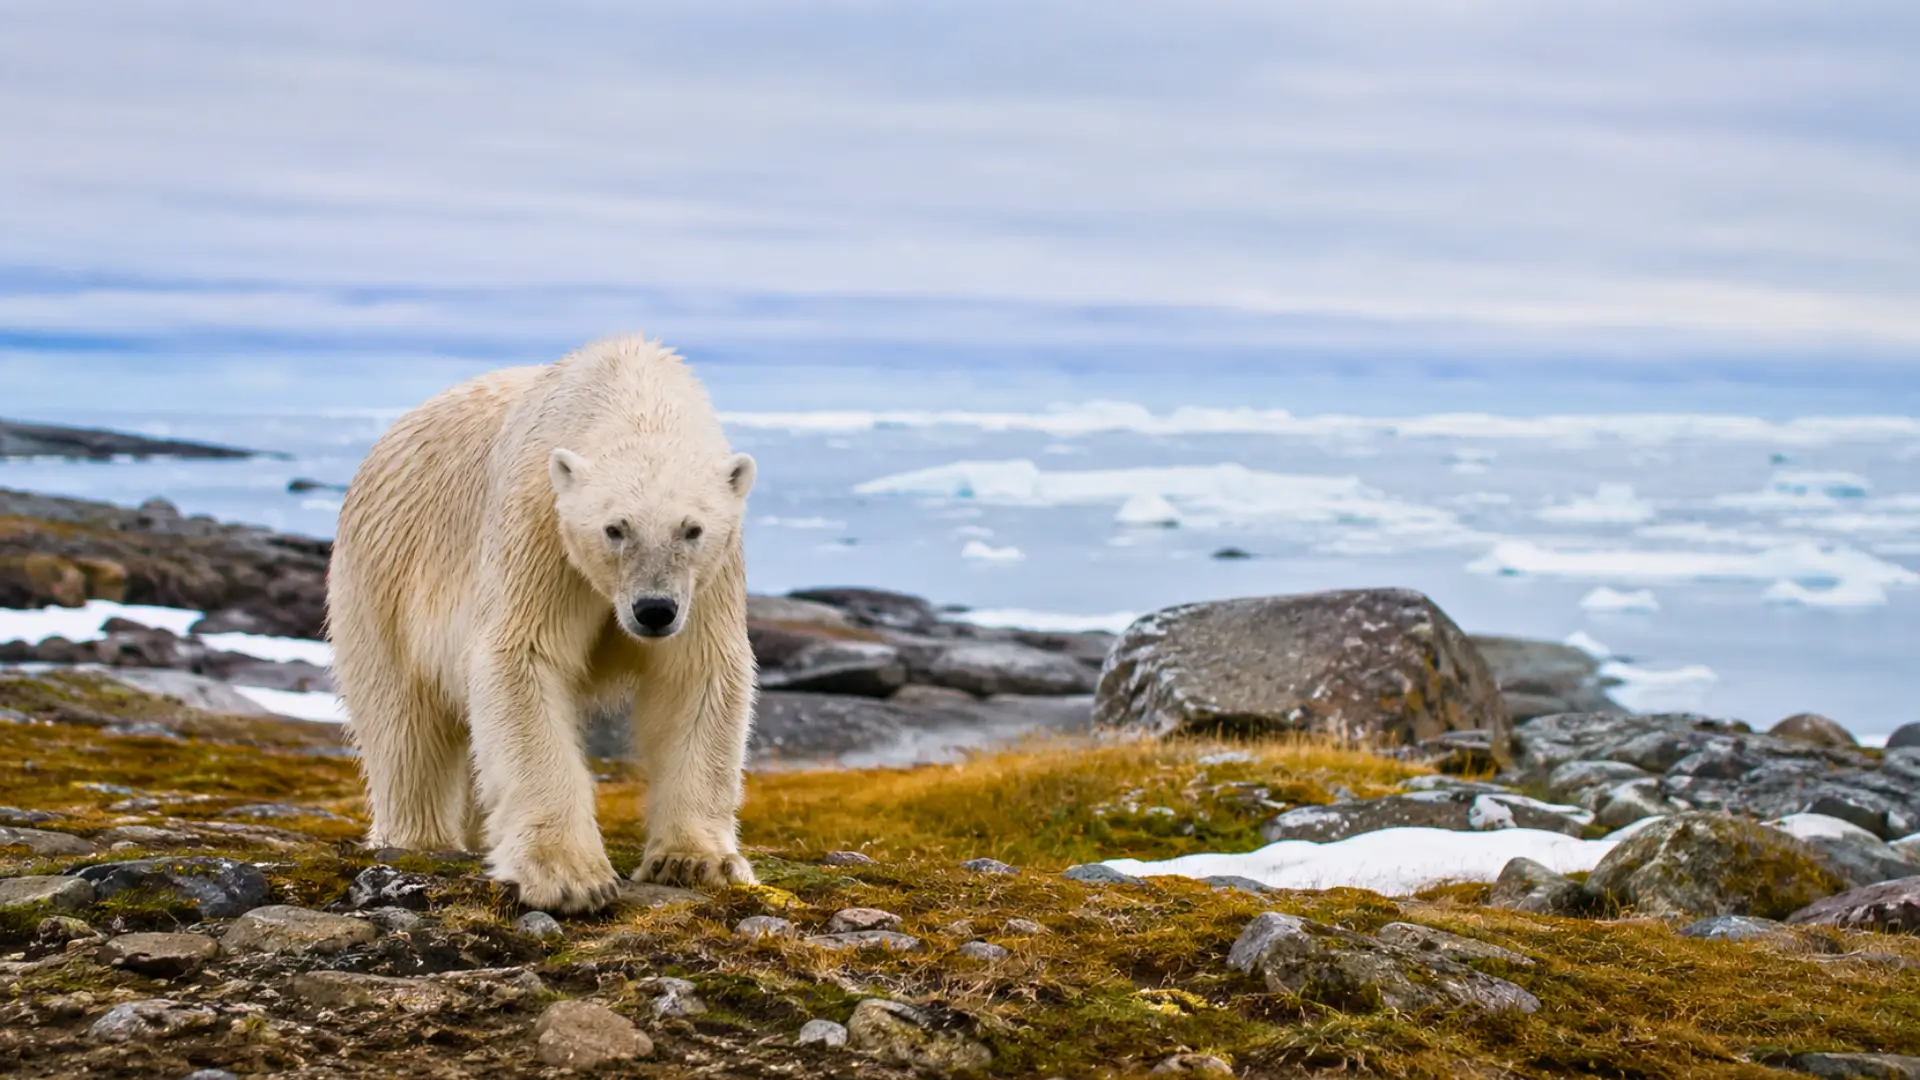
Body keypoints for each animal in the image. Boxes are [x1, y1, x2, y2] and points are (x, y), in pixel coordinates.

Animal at [326, 336, 759, 912]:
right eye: (614, 528)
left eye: (691, 529)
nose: (654, 609)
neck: (631, 389)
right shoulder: (539, 527)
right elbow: (521, 658)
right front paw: (567, 876)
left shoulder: (710, 579)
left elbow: (697, 674)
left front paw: (695, 860)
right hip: (382, 579)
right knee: (403, 721)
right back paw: (421, 839)